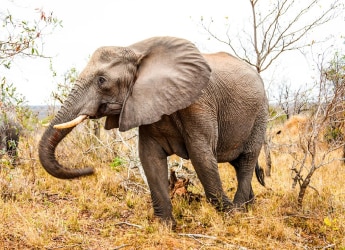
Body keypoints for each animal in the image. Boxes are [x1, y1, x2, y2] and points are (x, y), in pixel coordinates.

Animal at [39, 35, 268, 227]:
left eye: (102, 80)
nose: (91, 170)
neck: (136, 51)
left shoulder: (199, 103)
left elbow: (201, 156)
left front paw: (228, 215)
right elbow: (150, 157)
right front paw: (165, 226)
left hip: (260, 114)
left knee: (246, 160)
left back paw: (239, 211)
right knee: (239, 164)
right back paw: (249, 207)